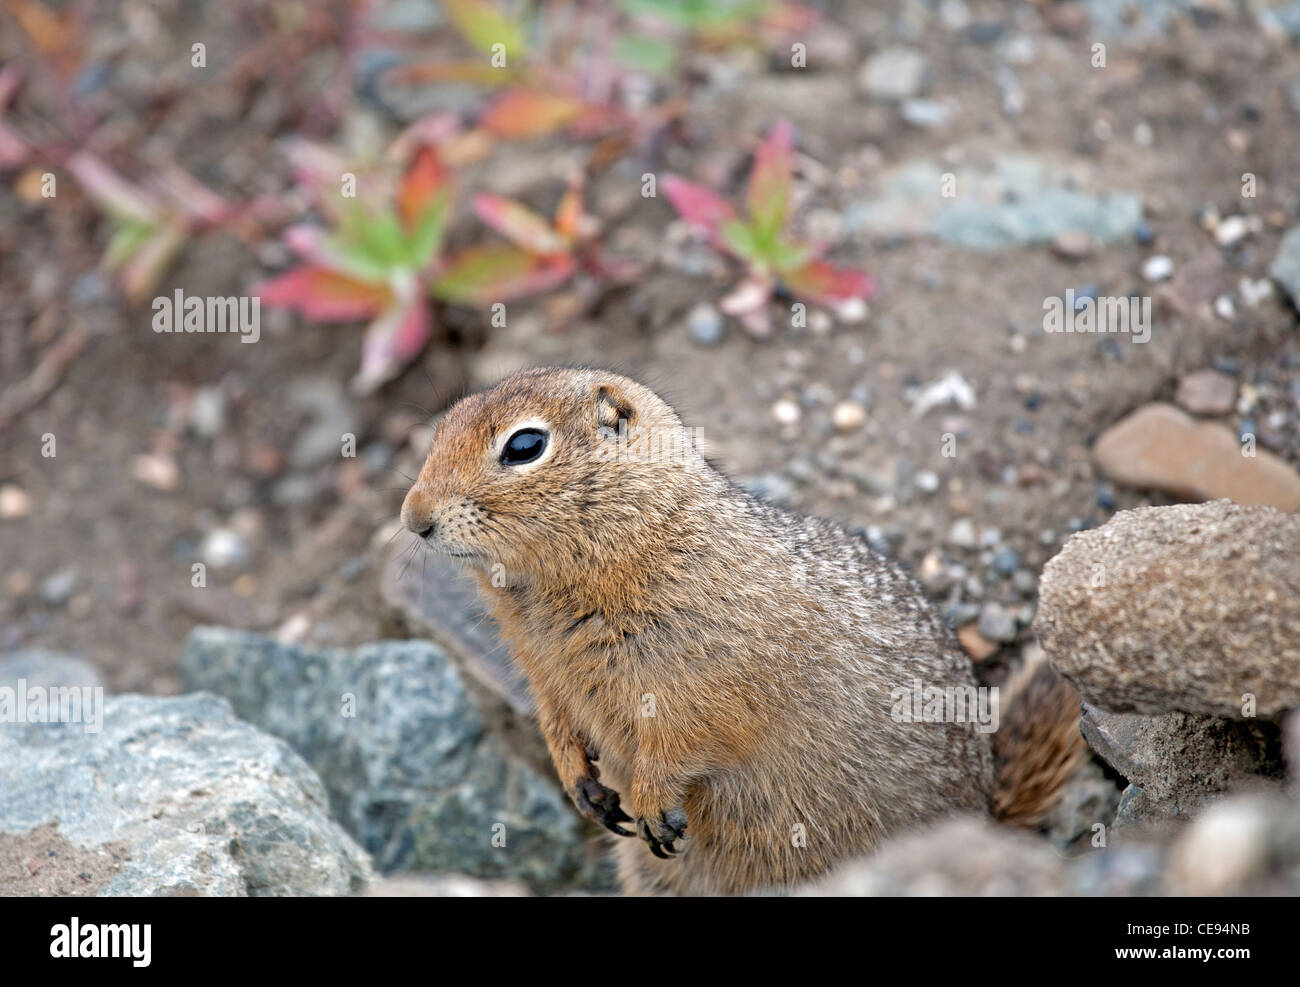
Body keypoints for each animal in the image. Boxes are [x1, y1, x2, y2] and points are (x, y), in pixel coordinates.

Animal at [400, 367, 1085, 895]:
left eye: (524, 446)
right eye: (443, 425)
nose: (413, 519)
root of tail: (987, 817)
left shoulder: (702, 679)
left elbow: (683, 739)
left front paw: (652, 802)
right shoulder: (544, 673)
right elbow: (557, 722)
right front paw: (581, 785)